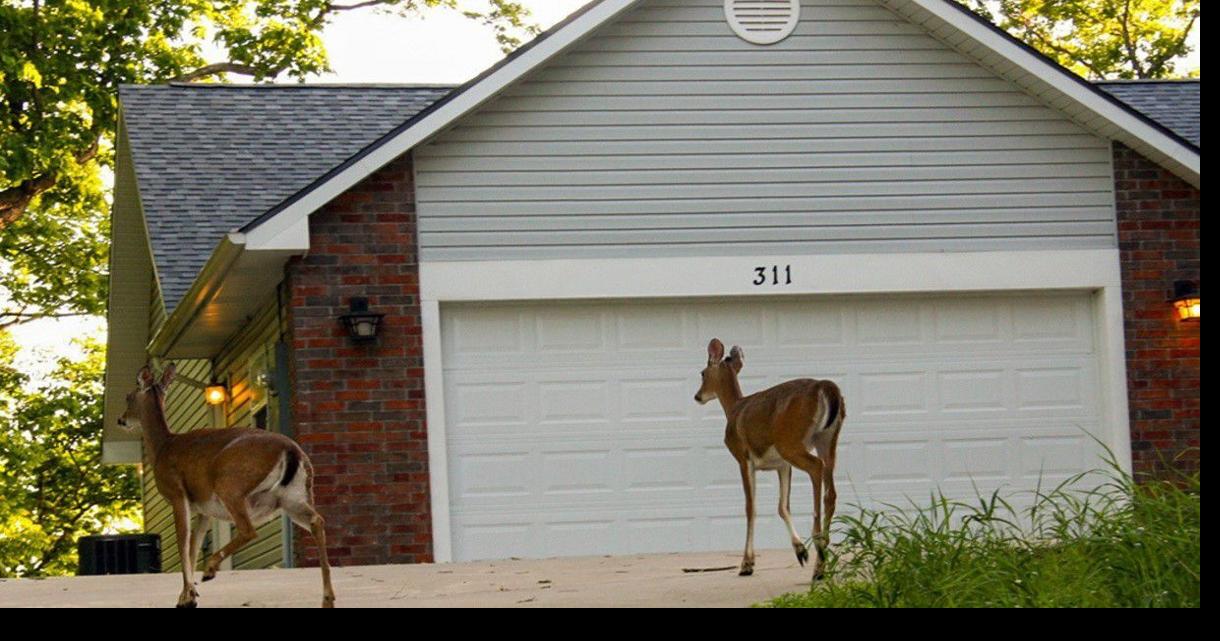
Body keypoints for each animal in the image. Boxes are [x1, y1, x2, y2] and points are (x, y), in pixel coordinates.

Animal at [117, 363, 335, 608]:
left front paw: (187, 596)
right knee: (317, 521)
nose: (121, 420)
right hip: (292, 497)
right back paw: (328, 599)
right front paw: (188, 594)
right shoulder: (203, 509)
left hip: (230, 484)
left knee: (248, 529)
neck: (163, 446)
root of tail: (292, 450)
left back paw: (210, 569)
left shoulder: (176, 493)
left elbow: (183, 542)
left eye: (128, 397)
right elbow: (194, 546)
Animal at [694, 338, 845, 583]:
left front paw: (747, 564)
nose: (697, 396)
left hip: (791, 442)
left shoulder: (743, 457)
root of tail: (825, 387)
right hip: (828, 440)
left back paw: (818, 547)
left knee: (816, 468)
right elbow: (782, 507)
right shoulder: (781, 465)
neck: (734, 408)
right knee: (830, 491)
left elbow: (750, 507)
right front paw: (800, 550)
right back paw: (820, 566)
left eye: (702, 373)